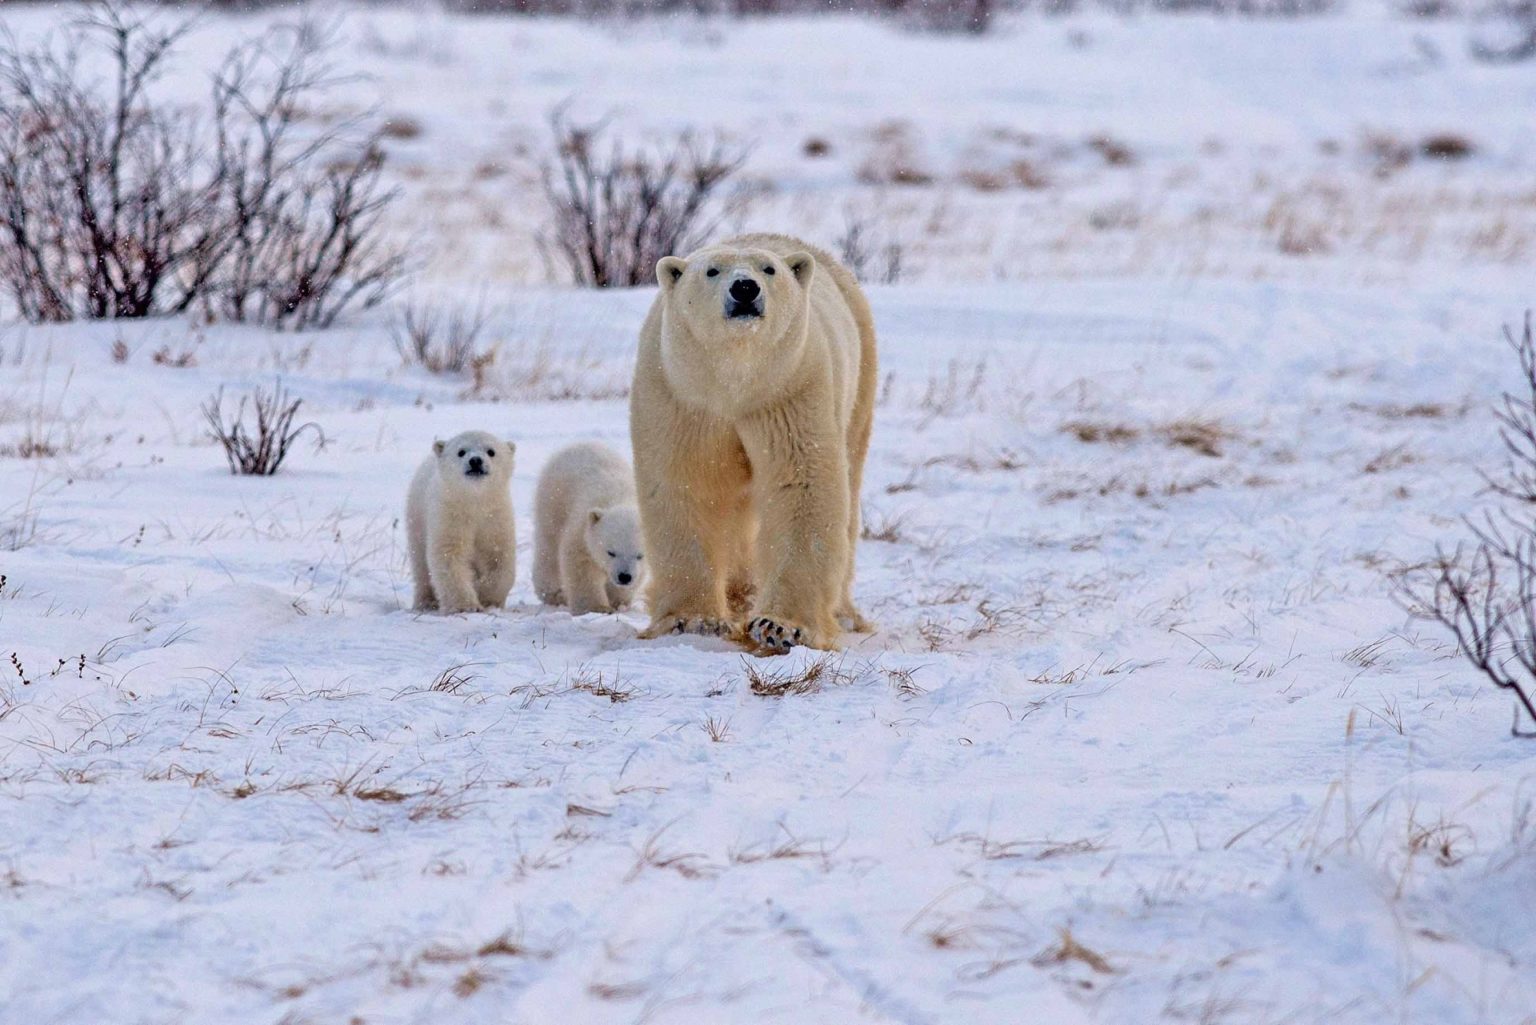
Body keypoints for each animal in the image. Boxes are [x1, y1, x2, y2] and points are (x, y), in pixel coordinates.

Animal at [406, 429, 517, 613]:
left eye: (491, 451)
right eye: (461, 451)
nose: (476, 461)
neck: (474, 501)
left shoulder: (495, 517)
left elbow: (498, 557)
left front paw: (486, 597)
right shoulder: (450, 515)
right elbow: (450, 556)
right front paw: (466, 606)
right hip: (417, 519)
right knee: (420, 565)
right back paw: (426, 602)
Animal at [532, 441, 647, 615]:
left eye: (640, 555)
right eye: (610, 552)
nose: (624, 576)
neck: (621, 498)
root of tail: (578, 444)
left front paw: (618, 602)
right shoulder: (581, 531)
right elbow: (581, 566)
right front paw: (598, 608)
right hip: (552, 504)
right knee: (548, 549)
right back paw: (553, 593)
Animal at [629, 232, 878, 653]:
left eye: (769, 269)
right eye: (712, 270)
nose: (745, 288)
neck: (735, 382)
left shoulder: (789, 391)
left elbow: (801, 484)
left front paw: (781, 626)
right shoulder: (681, 396)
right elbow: (686, 484)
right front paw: (693, 620)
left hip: (860, 374)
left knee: (849, 482)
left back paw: (843, 612)